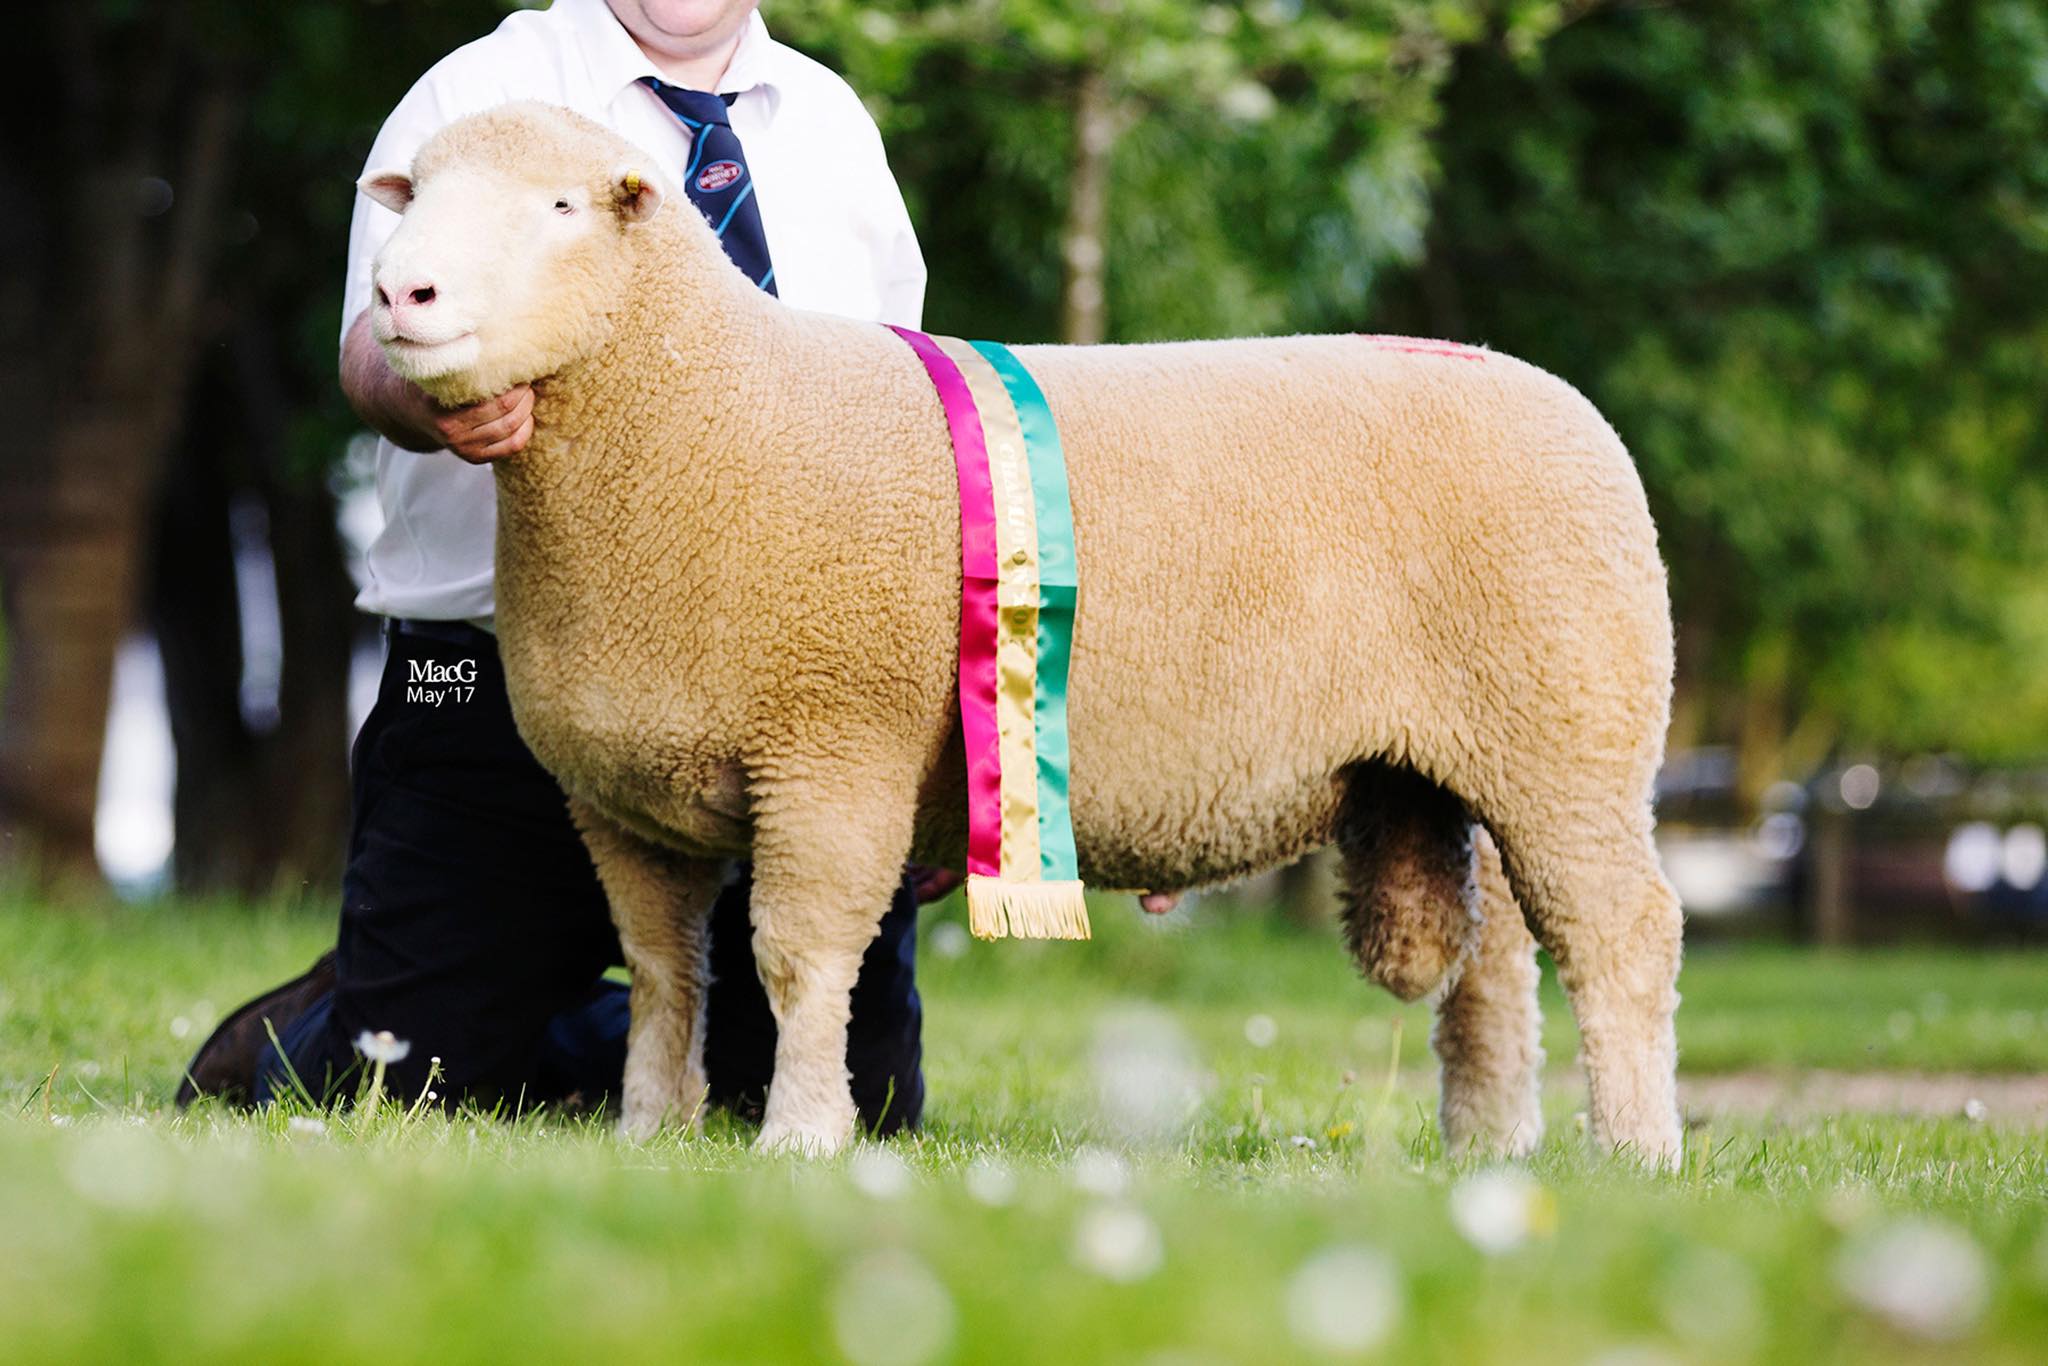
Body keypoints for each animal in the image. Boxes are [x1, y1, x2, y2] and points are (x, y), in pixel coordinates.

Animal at [360, 102, 1683, 1164]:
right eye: (414, 194)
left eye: (560, 205)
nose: (396, 295)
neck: (702, 410)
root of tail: (1535, 383)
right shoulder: (619, 801)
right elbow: (662, 970)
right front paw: (648, 1129)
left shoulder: (835, 749)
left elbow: (798, 957)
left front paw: (800, 1135)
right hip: (1467, 749)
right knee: (1497, 962)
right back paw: (1487, 1146)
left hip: (1572, 733)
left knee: (1619, 937)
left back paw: (1631, 1152)